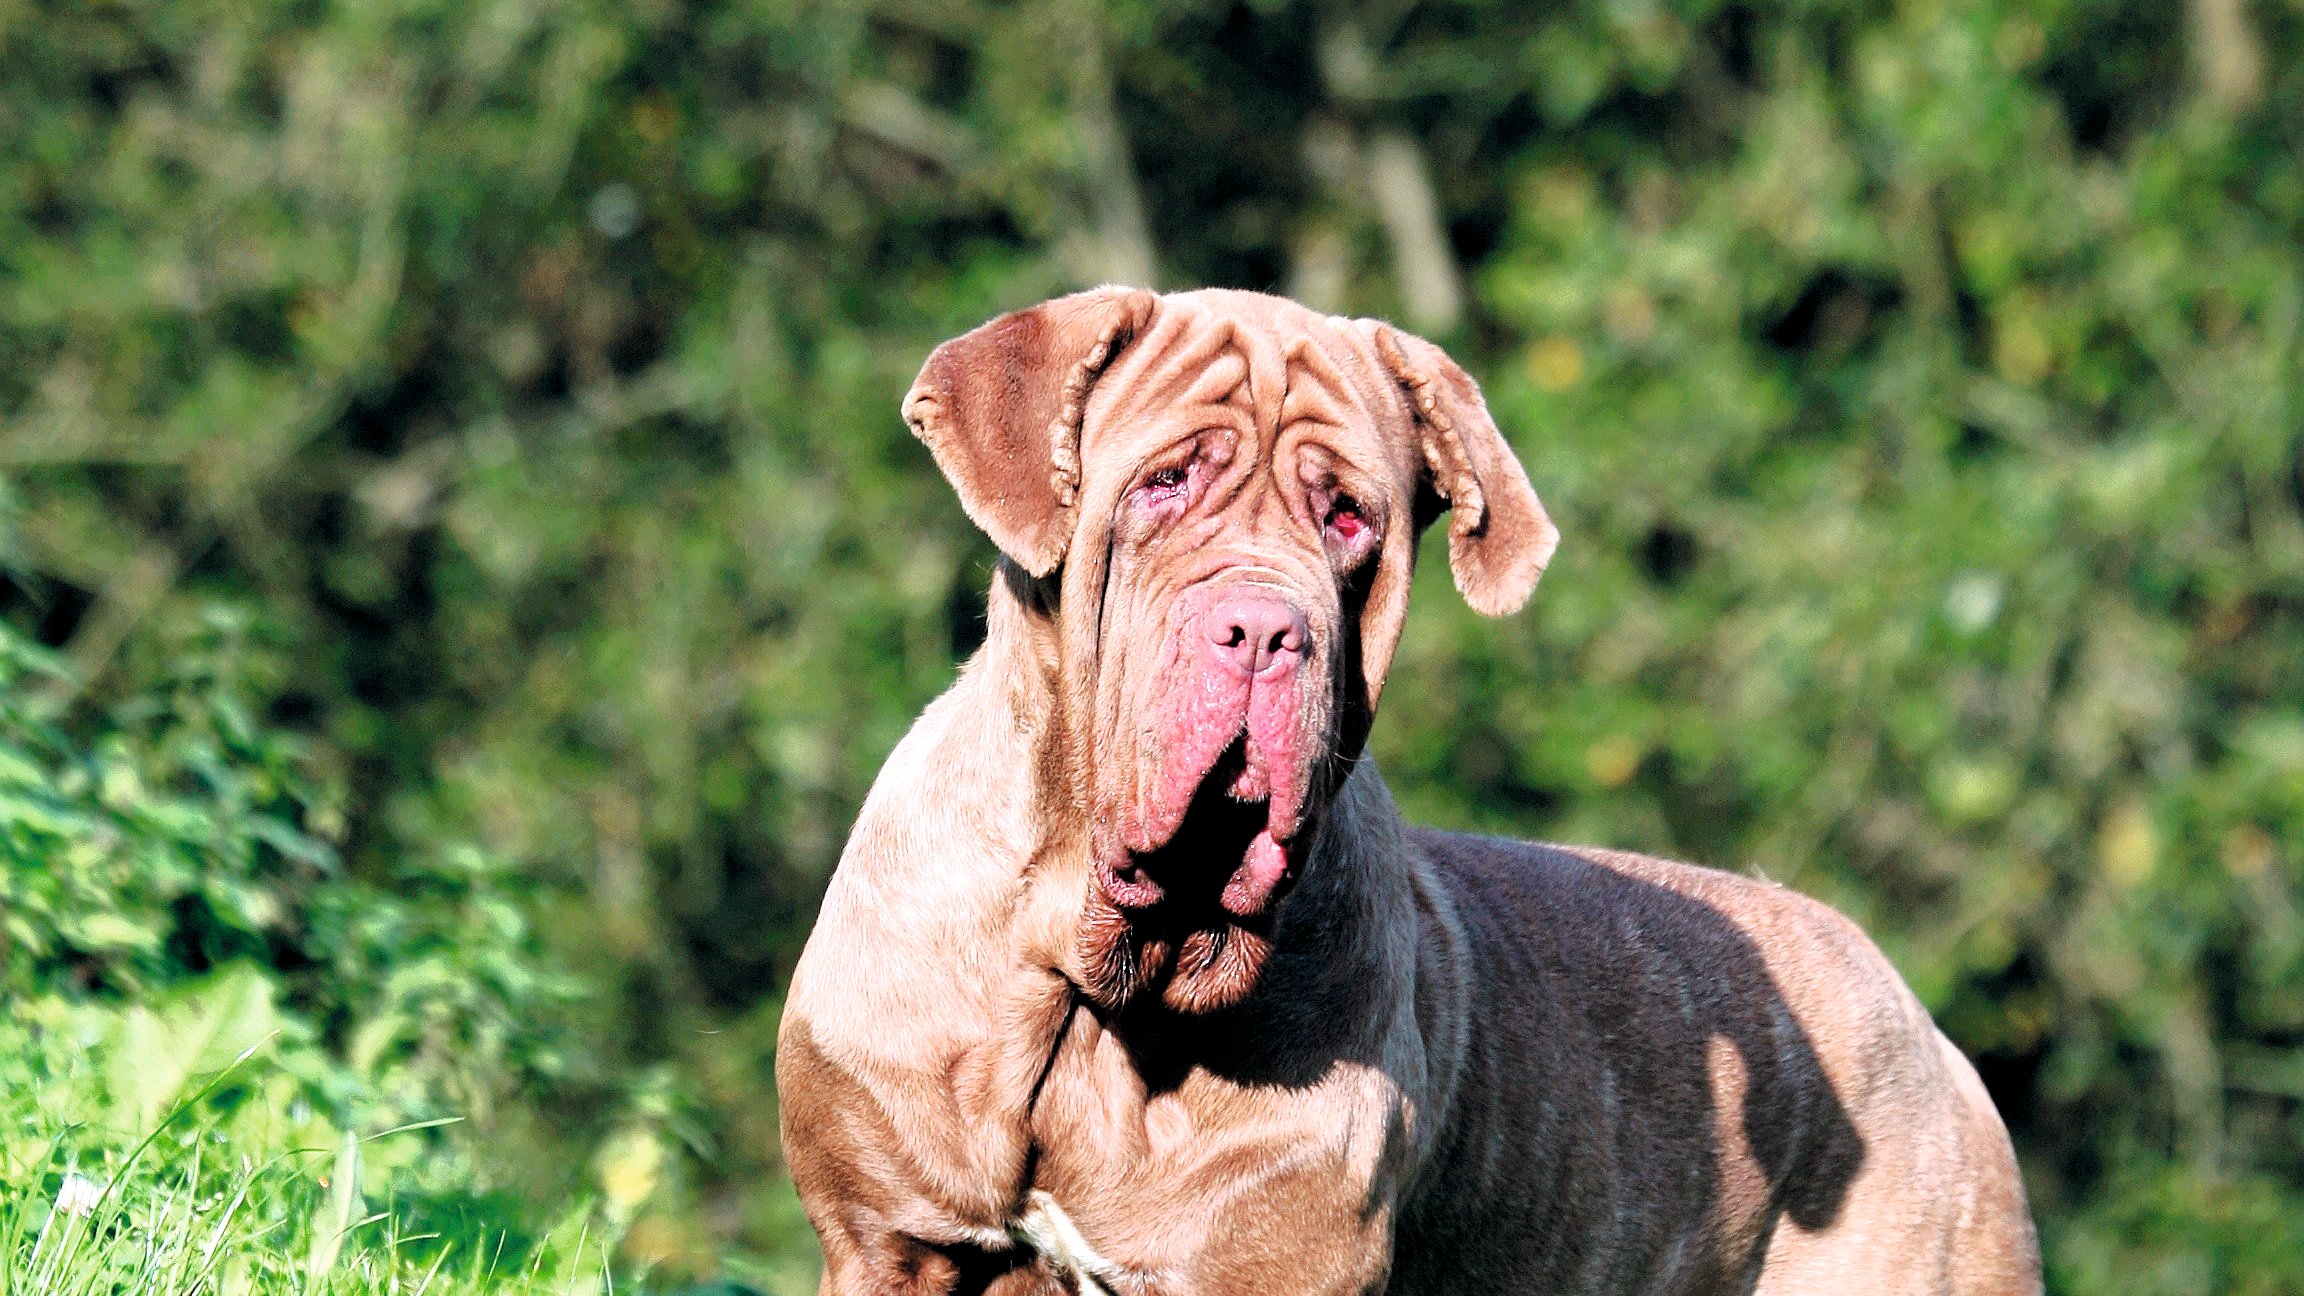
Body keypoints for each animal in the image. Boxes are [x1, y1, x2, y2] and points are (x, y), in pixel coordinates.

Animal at [774, 287, 2036, 1282]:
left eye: (1348, 517)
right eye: (1164, 483)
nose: (1266, 629)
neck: (1095, 989)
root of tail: (1917, 1018)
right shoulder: (886, 1241)